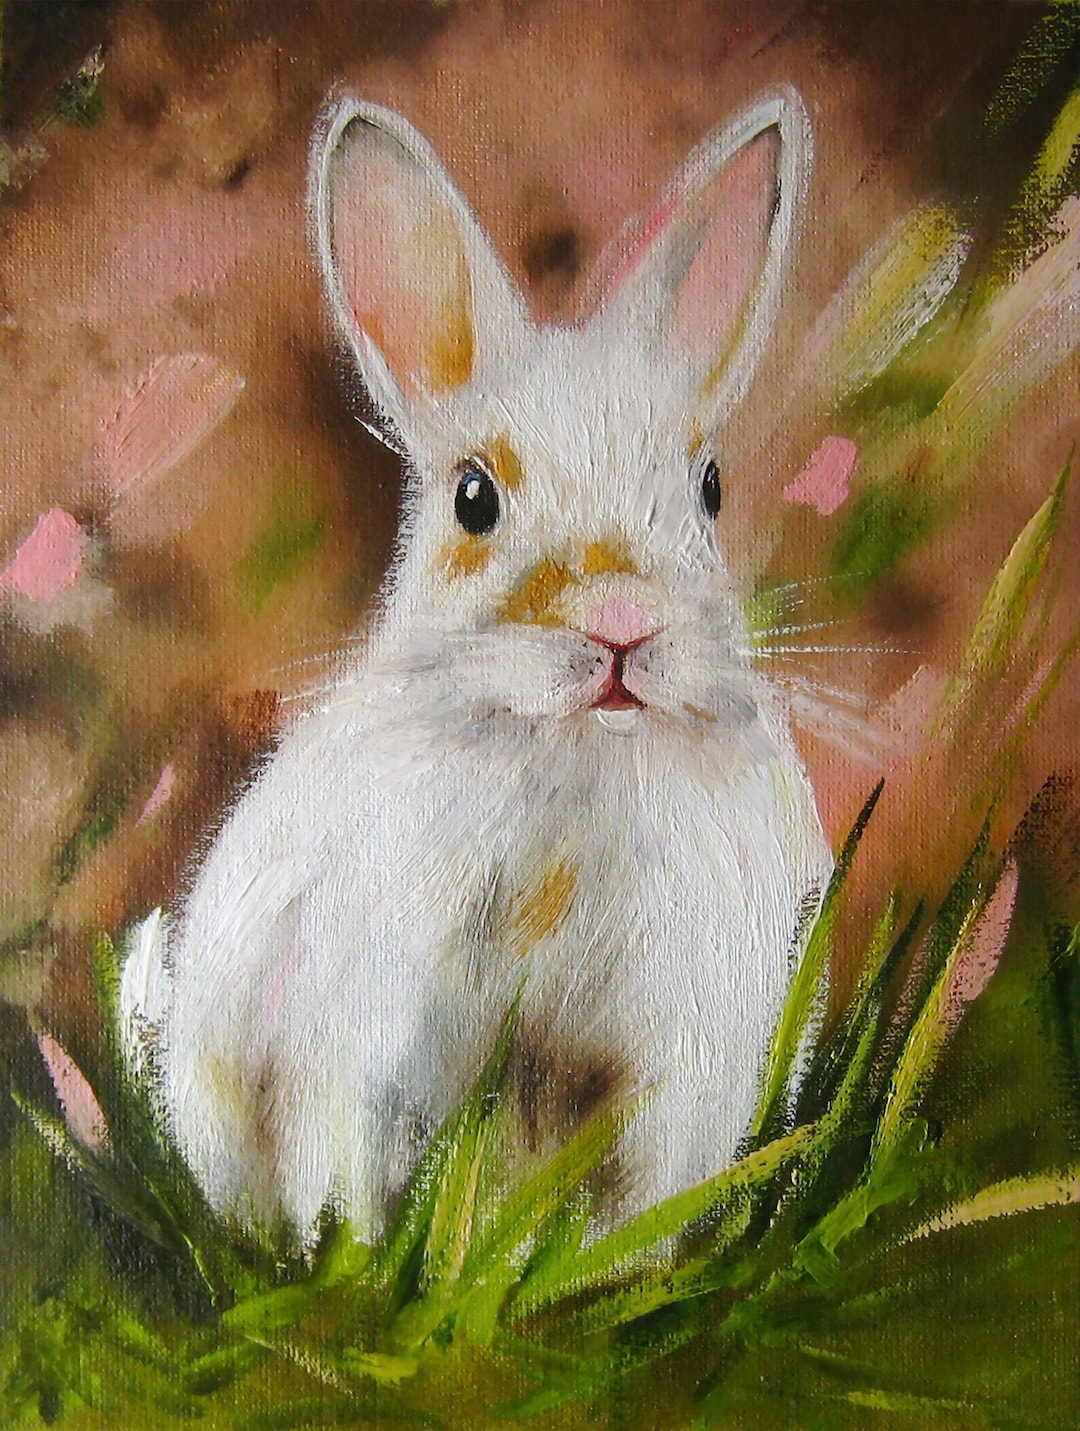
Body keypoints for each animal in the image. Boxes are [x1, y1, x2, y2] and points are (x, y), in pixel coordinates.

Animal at [124, 88, 832, 1244]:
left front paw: (609, 1274)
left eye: (711, 488)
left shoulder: (678, 1062)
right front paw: (357, 1268)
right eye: (472, 498)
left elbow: (638, 1201)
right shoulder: (365, 1041)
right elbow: (354, 1181)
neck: (568, 754)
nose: (623, 623)